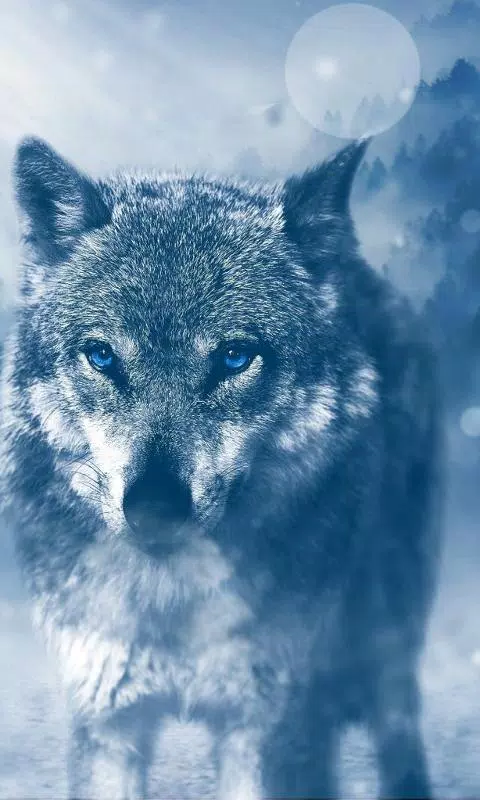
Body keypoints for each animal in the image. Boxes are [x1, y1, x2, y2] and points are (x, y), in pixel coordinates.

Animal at [0, 135, 442, 800]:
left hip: (383, 634)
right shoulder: (107, 719)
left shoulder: (266, 724)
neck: (172, 603)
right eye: (102, 356)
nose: (155, 508)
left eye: (235, 357)